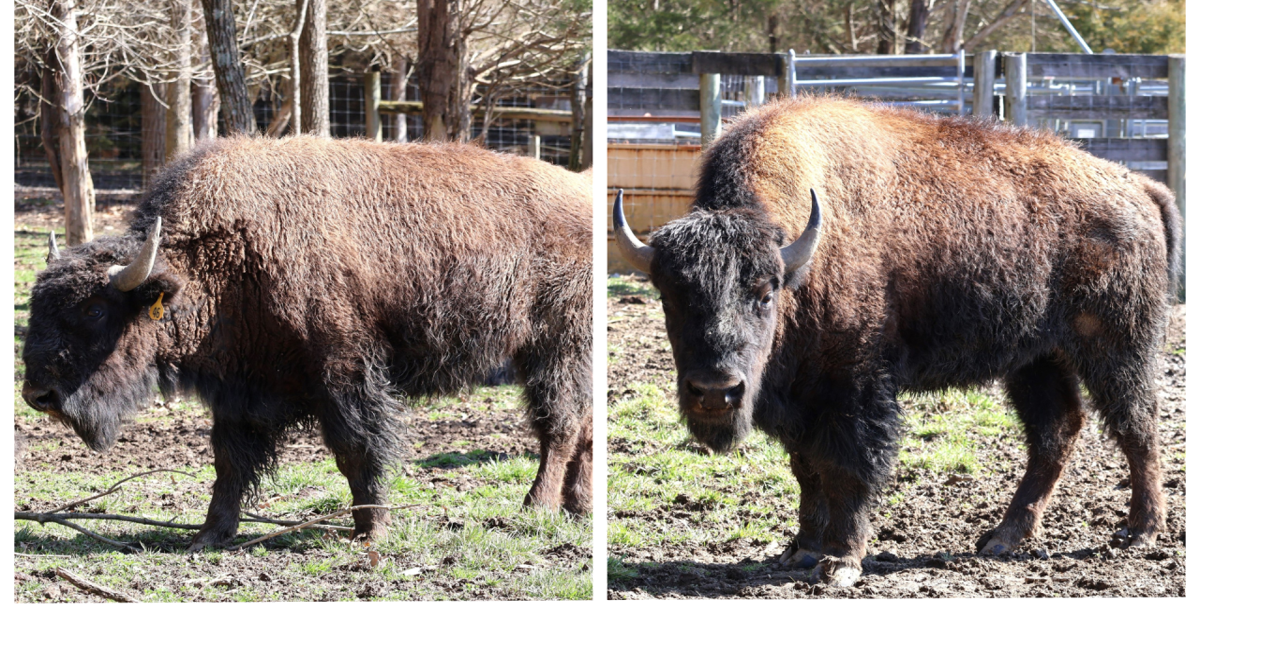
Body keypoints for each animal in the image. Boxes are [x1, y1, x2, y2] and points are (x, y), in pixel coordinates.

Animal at [24, 137, 592, 550]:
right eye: (37, 305)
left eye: (94, 310)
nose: (38, 395)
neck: (217, 260)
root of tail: (583, 192)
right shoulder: (241, 388)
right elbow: (229, 461)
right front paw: (208, 536)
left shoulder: (344, 372)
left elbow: (355, 448)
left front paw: (370, 530)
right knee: (581, 422)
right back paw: (579, 507)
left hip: (555, 344)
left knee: (558, 425)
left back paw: (536, 507)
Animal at [614, 97, 1180, 586]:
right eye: (669, 295)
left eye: (765, 292)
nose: (715, 391)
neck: (803, 258)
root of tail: (1141, 188)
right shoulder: (800, 396)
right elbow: (806, 469)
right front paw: (800, 550)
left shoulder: (854, 387)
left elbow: (848, 467)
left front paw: (840, 562)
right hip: (1036, 359)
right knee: (1056, 431)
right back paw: (1001, 538)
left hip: (1115, 345)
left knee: (1137, 425)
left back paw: (1139, 531)